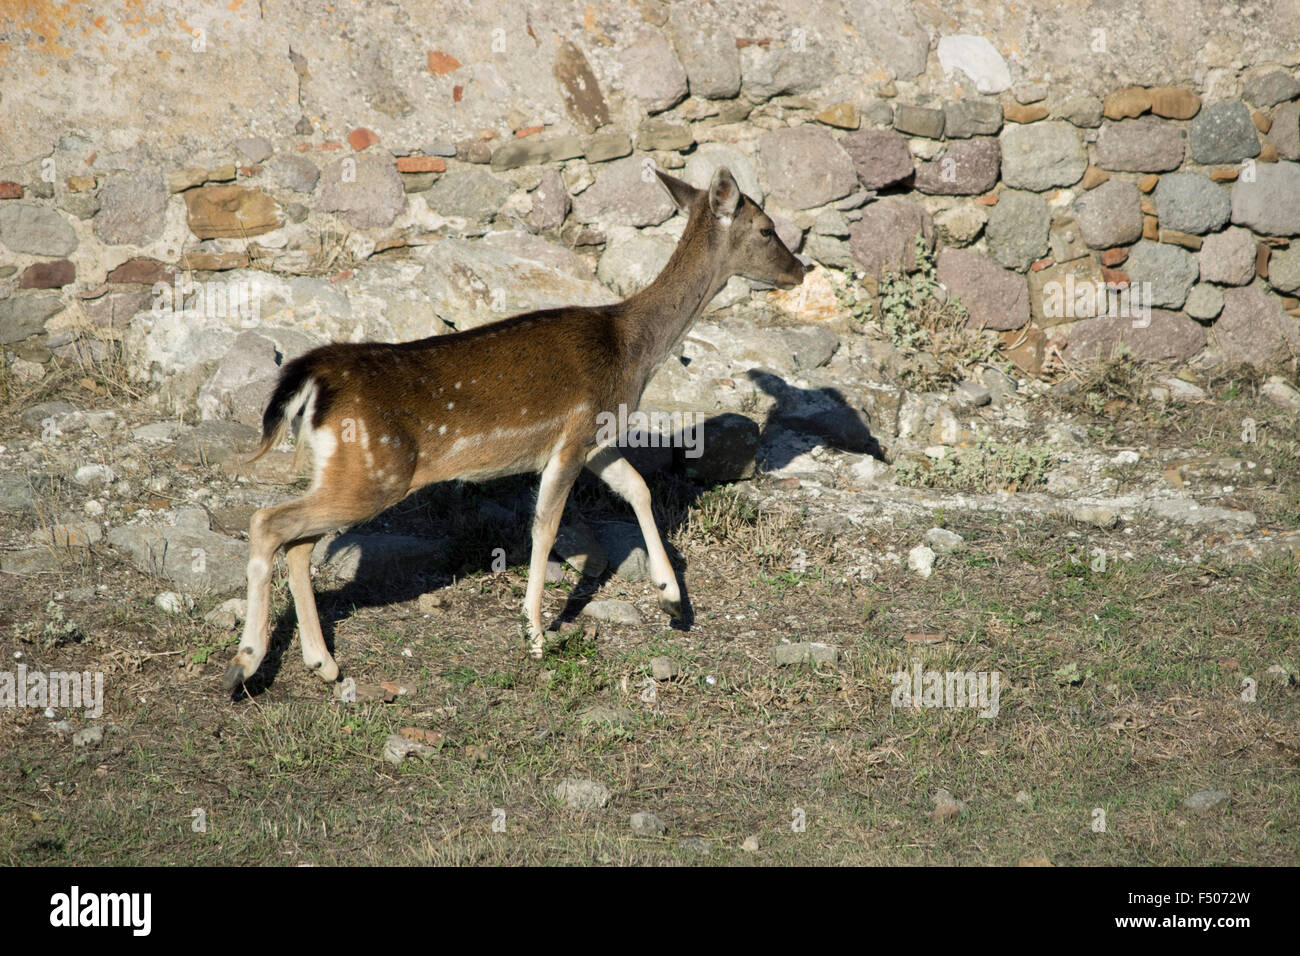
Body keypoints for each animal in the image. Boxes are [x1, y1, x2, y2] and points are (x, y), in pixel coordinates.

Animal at [223, 165, 810, 694]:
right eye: (766, 228)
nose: (801, 270)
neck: (632, 352)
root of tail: (314, 378)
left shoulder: (598, 438)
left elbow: (637, 488)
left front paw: (671, 598)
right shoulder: (574, 436)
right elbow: (544, 527)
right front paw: (535, 634)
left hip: (343, 469)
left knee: (299, 544)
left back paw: (323, 664)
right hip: (377, 472)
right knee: (268, 522)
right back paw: (246, 663)